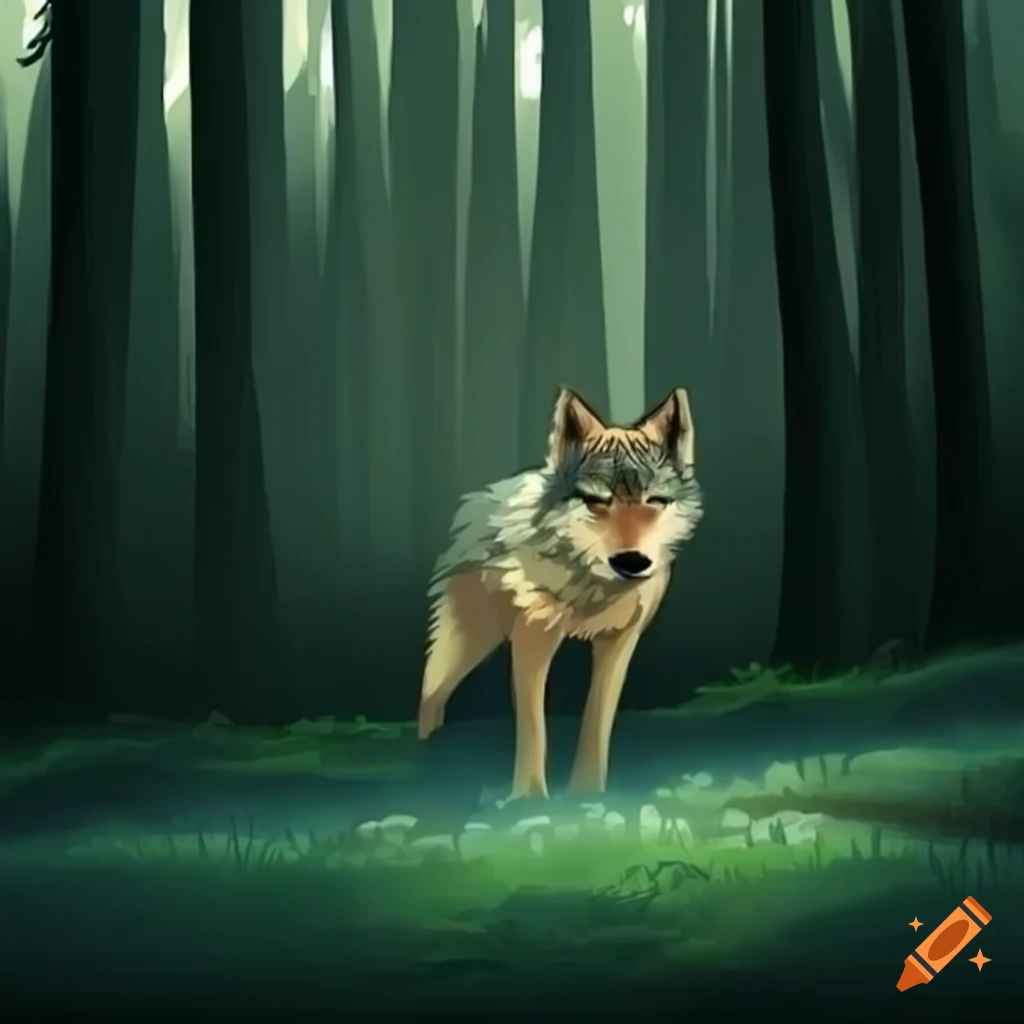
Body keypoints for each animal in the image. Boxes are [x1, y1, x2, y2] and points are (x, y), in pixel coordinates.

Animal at [417, 386, 703, 799]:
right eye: (597, 501)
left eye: (654, 501)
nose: (632, 561)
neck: (594, 587)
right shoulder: (533, 640)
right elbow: (534, 729)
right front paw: (529, 801)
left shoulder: (620, 643)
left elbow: (597, 722)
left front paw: (587, 795)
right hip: (462, 650)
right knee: (430, 699)